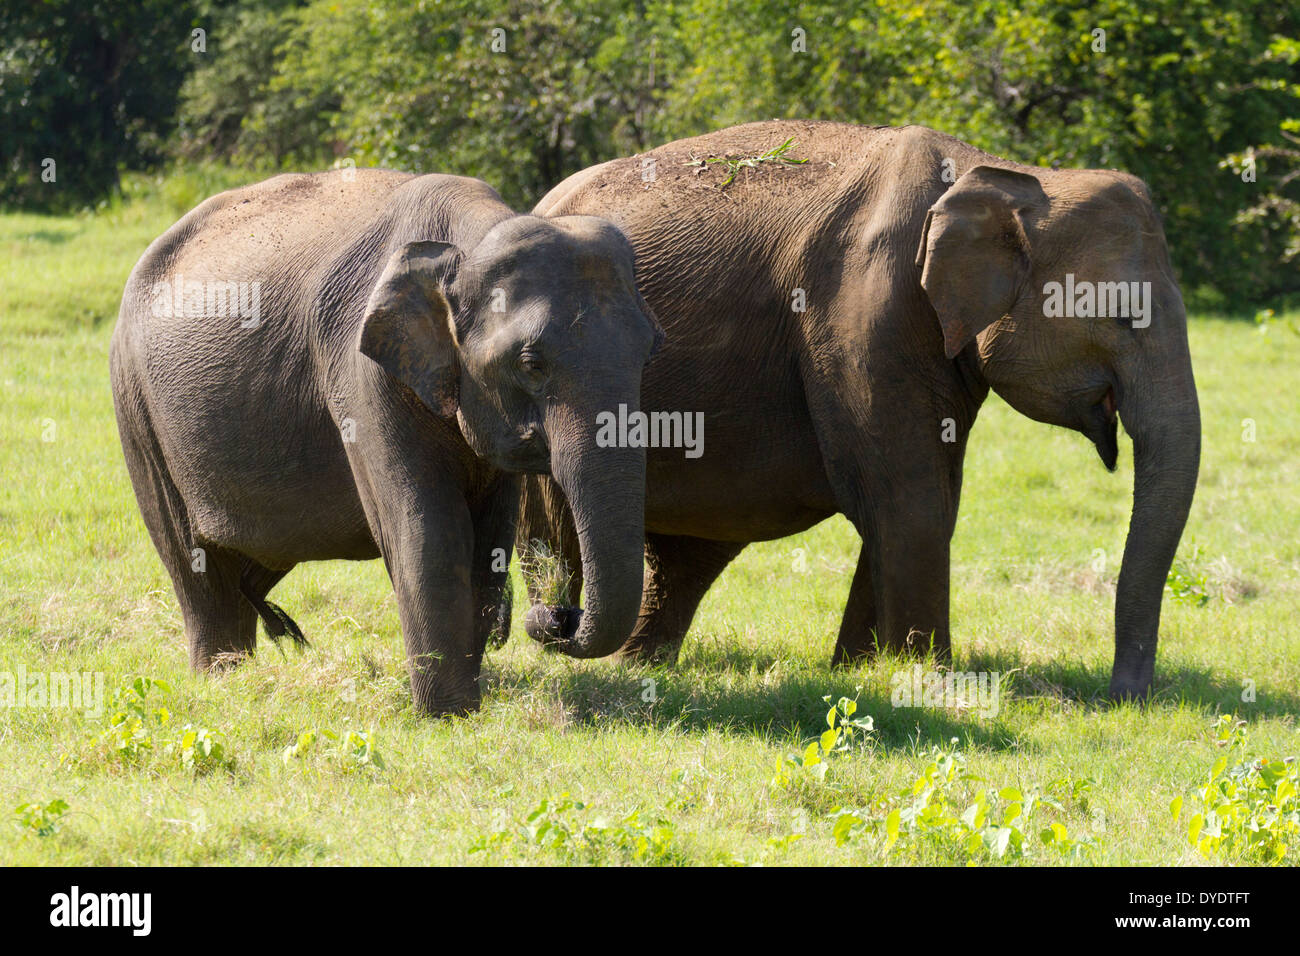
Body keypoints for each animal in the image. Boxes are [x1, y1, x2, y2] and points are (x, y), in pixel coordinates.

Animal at [111, 169, 661, 716]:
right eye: (531, 364)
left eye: (648, 353)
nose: (556, 616)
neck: (469, 238)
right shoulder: (362, 374)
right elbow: (428, 529)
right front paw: (448, 714)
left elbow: (489, 540)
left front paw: (467, 703)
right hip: (136, 407)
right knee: (195, 564)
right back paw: (224, 684)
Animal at [517, 120, 1200, 701]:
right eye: (1125, 318)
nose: (1121, 697)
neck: (1010, 173)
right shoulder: (862, 311)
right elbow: (909, 497)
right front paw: (929, 678)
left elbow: (922, 497)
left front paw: (857, 670)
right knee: (559, 525)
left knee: (689, 555)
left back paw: (635, 663)